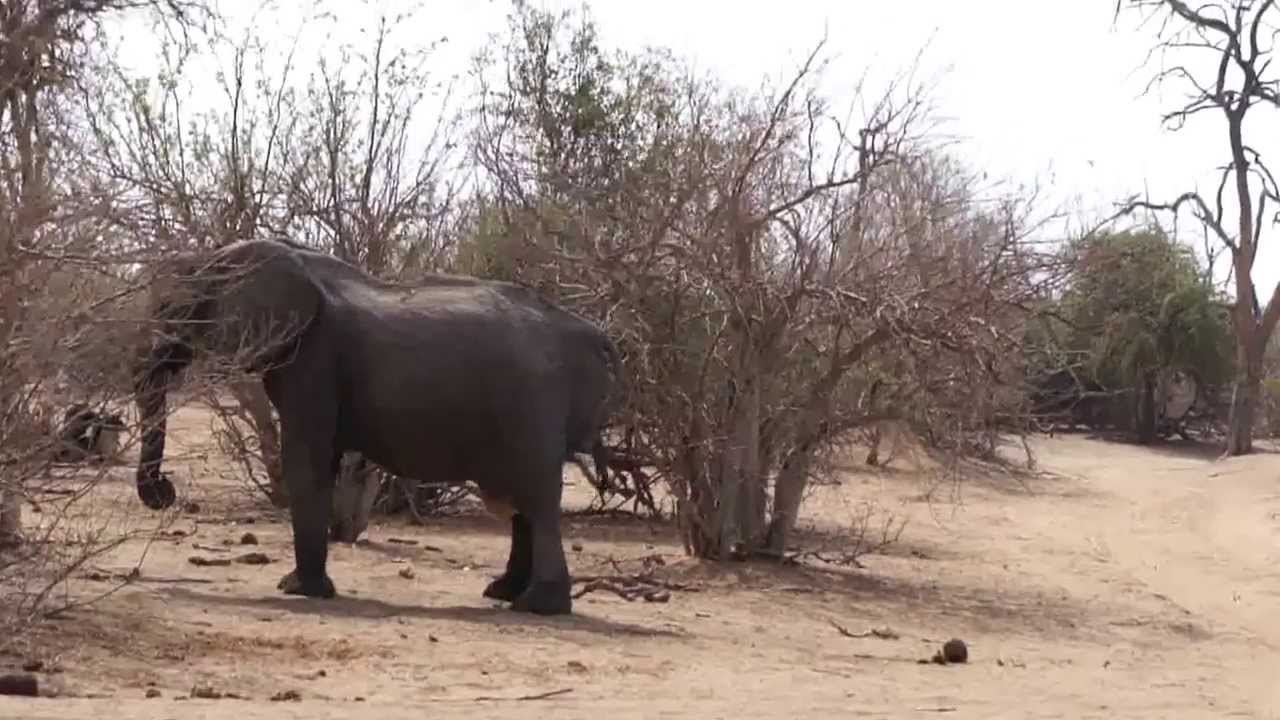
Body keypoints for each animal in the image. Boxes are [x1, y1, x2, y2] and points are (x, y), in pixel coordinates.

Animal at [131, 238, 620, 615]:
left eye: (175, 311)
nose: (165, 491)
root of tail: (592, 334)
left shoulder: (315, 357)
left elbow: (306, 459)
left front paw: (299, 590)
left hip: (535, 402)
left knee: (536, 498)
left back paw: (536, 606)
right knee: (521, 501)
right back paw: (501, 593)